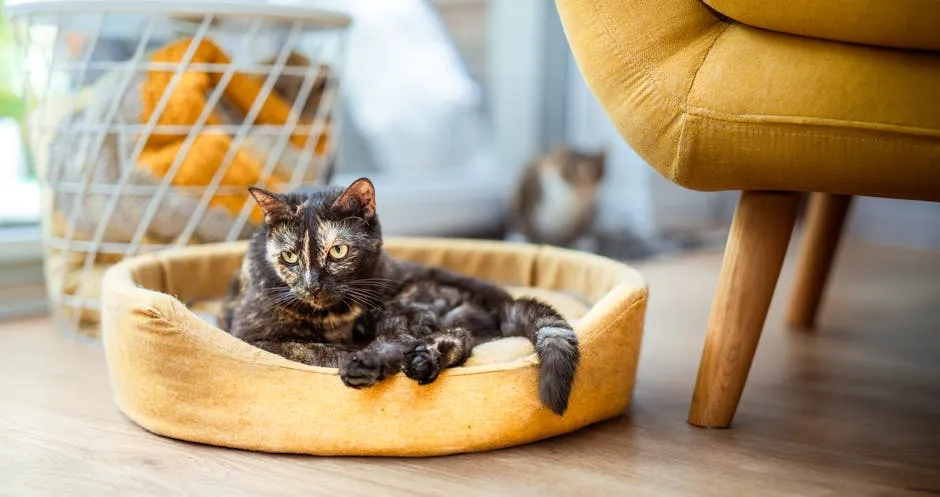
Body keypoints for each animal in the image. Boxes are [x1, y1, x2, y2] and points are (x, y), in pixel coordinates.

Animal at [222, 177, 580, 410]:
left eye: (338, 250)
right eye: (289, 257)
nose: (312, 285)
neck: (335, 316)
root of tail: (500, 302)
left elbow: (323, 349)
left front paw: (358, 356)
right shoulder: (251, 337)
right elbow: (309, 349)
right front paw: (342, 352)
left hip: (405, 300)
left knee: (427, 337)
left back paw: (392, 362)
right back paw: (415, 361)